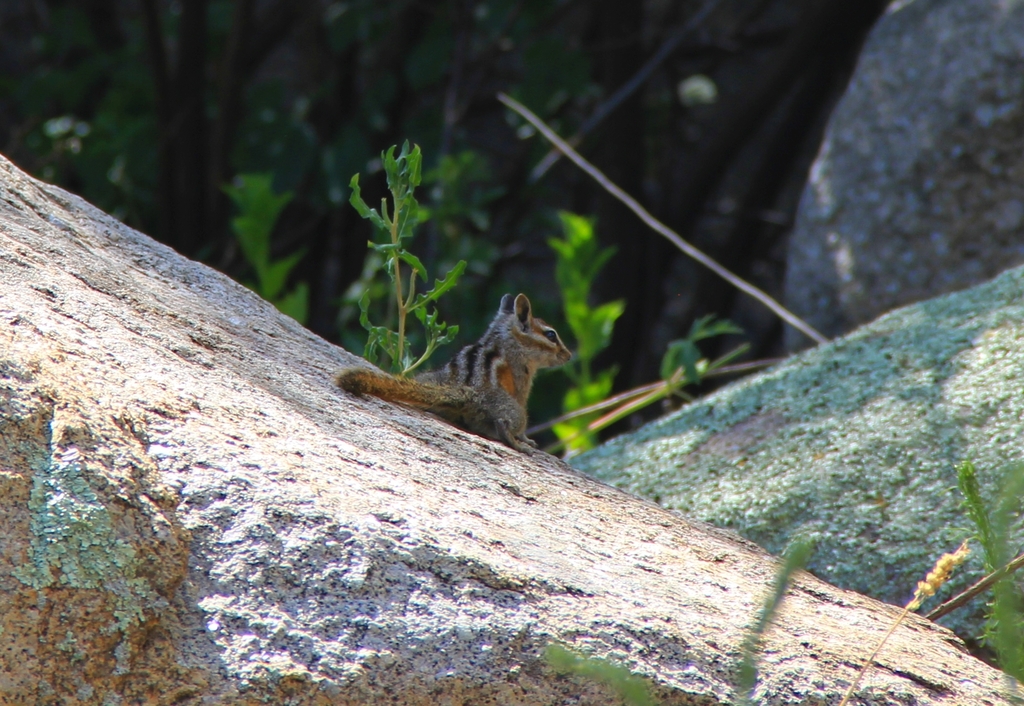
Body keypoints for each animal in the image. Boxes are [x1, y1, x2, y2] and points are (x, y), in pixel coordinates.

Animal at [334, 293, 571, 452]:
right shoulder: (521, 382)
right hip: (512, 409)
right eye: (551, 335)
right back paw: (518, 444)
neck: (504, 338)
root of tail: (464, 391)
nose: (569, 355)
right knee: (505, 423)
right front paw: (526, 439)